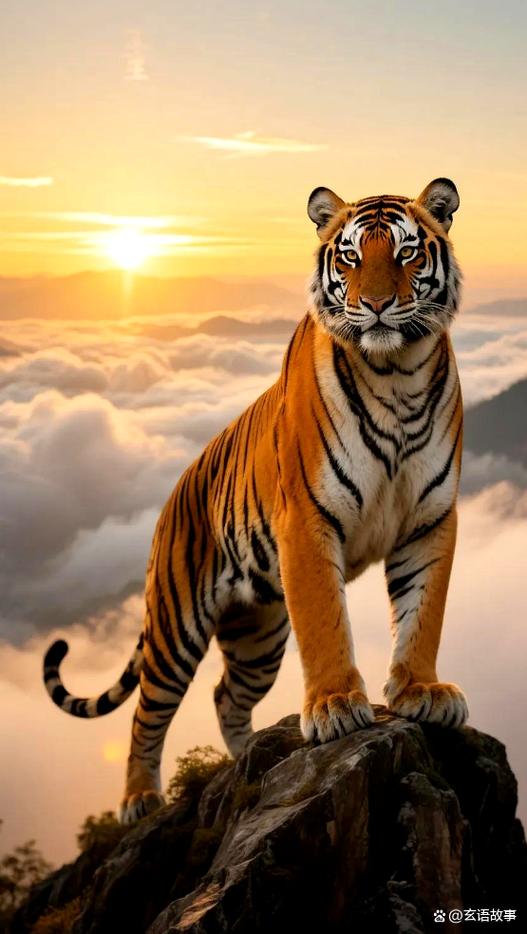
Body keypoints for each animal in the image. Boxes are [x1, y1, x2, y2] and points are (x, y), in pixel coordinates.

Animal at [43, 177, 468, 824]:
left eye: (406, 253)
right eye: (350, 257)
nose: (374, 305)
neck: (398, 374)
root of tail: (167, 502)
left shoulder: (431, 519)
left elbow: (425, 613)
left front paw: (421, 690)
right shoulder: (309, 521)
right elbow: (325, 622)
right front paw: (337, 705)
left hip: (258, 634)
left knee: (226, 696)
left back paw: (248, 758)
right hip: (175, 627)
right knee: (146, 714)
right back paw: (140, 799)